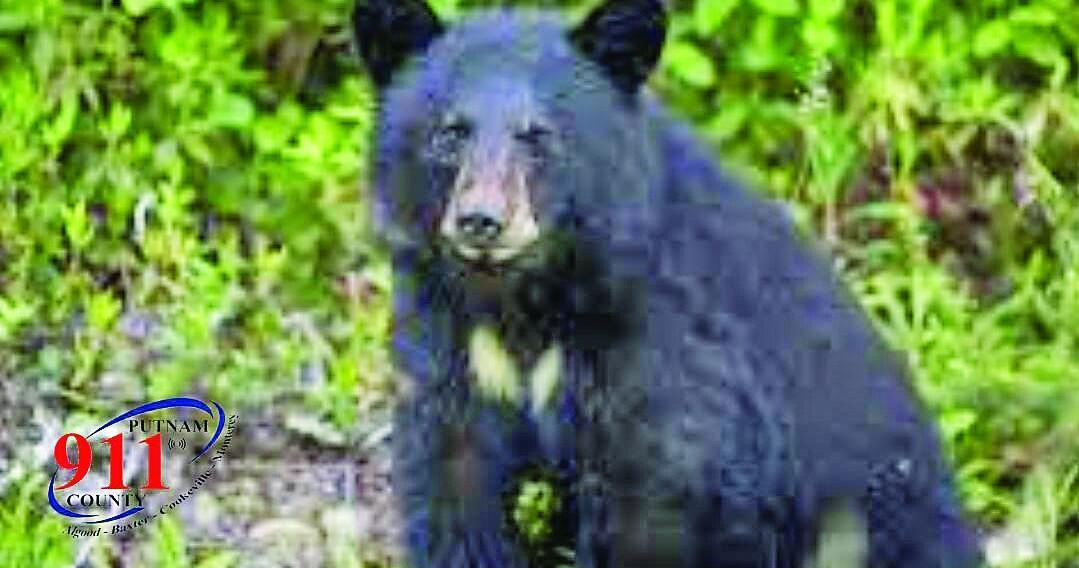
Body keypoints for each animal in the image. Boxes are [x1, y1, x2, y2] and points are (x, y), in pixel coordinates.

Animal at [351, 0, 984, 567]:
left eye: (538, 136)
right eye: (450, 133)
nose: (481, 221)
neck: (530, 294)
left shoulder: (664, 338)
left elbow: (661, 487)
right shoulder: (453, 337)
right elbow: (455, 483)